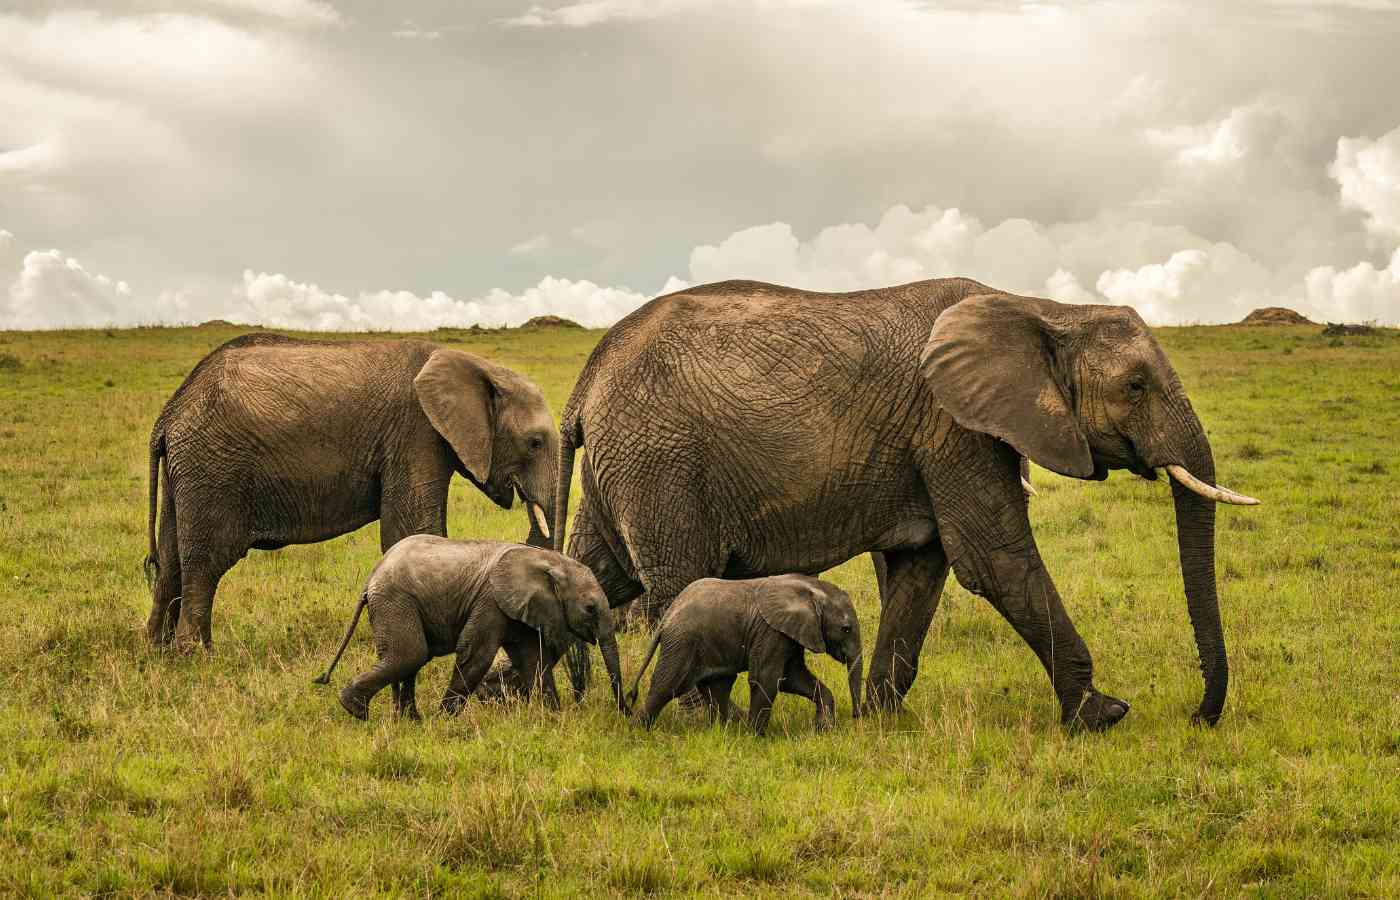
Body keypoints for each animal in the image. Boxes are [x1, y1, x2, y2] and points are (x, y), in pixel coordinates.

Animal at [143, 333, 558, 651]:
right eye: (535, 443)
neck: (478, 367)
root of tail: (168, 414)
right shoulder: (415, 434)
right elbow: (412, 529)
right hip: (212, 467)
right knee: (205, 561)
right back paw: (196, 655)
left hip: (186, 471)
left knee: (171, 558)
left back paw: (157, 650)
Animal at [313, 536, 627, 719]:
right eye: (590, 608)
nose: (625, 711)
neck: (550, 560)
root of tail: (372, 576)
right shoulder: (490, 601)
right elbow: (476, 654)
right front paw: (443, 721)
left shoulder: (521, 606)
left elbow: (533, 659)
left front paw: (553, 718)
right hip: (395, 599)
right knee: (410, 655)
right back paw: (356, 710)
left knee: (407, 660)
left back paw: (408, 720)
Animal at [627, 574, 863, 735]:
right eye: (846, 629)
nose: (856, 717)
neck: (811, 588)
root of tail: (667, 617)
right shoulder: (770, 631)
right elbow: (766, 679)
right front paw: (756, 737)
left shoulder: (790, 633)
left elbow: (792, 678)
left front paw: (823, 727)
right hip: (681, 642)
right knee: (667, 686)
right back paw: (638, 730)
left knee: (717, 688)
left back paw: (721, 731)